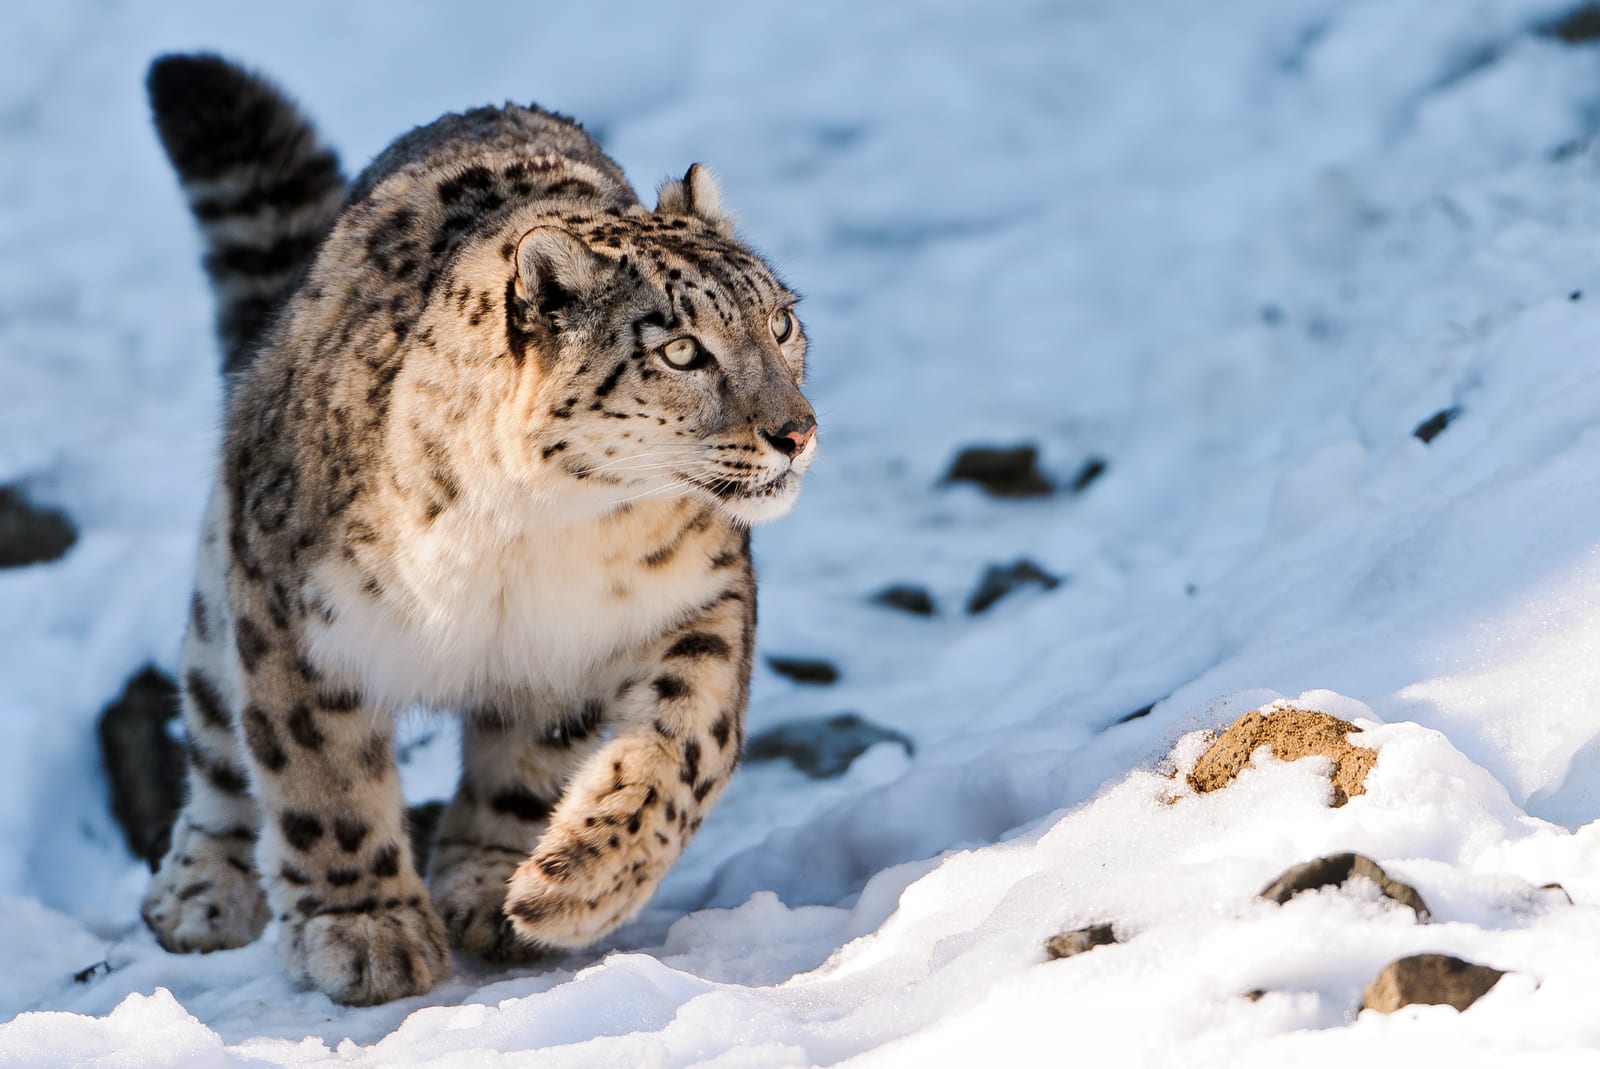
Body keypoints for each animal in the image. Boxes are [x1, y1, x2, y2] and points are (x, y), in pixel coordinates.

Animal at [136, 53, 817, 1006]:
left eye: (780, 320)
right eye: (682, 350)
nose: (797, 431)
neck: (535, 533)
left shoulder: (693, 598)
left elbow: (685, 744)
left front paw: (572, 882)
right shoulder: (293, 613)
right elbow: (319, 773)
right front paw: (366, 928)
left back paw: (490, 884)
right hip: (221, 583)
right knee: (216, 741)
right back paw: (202, 892)